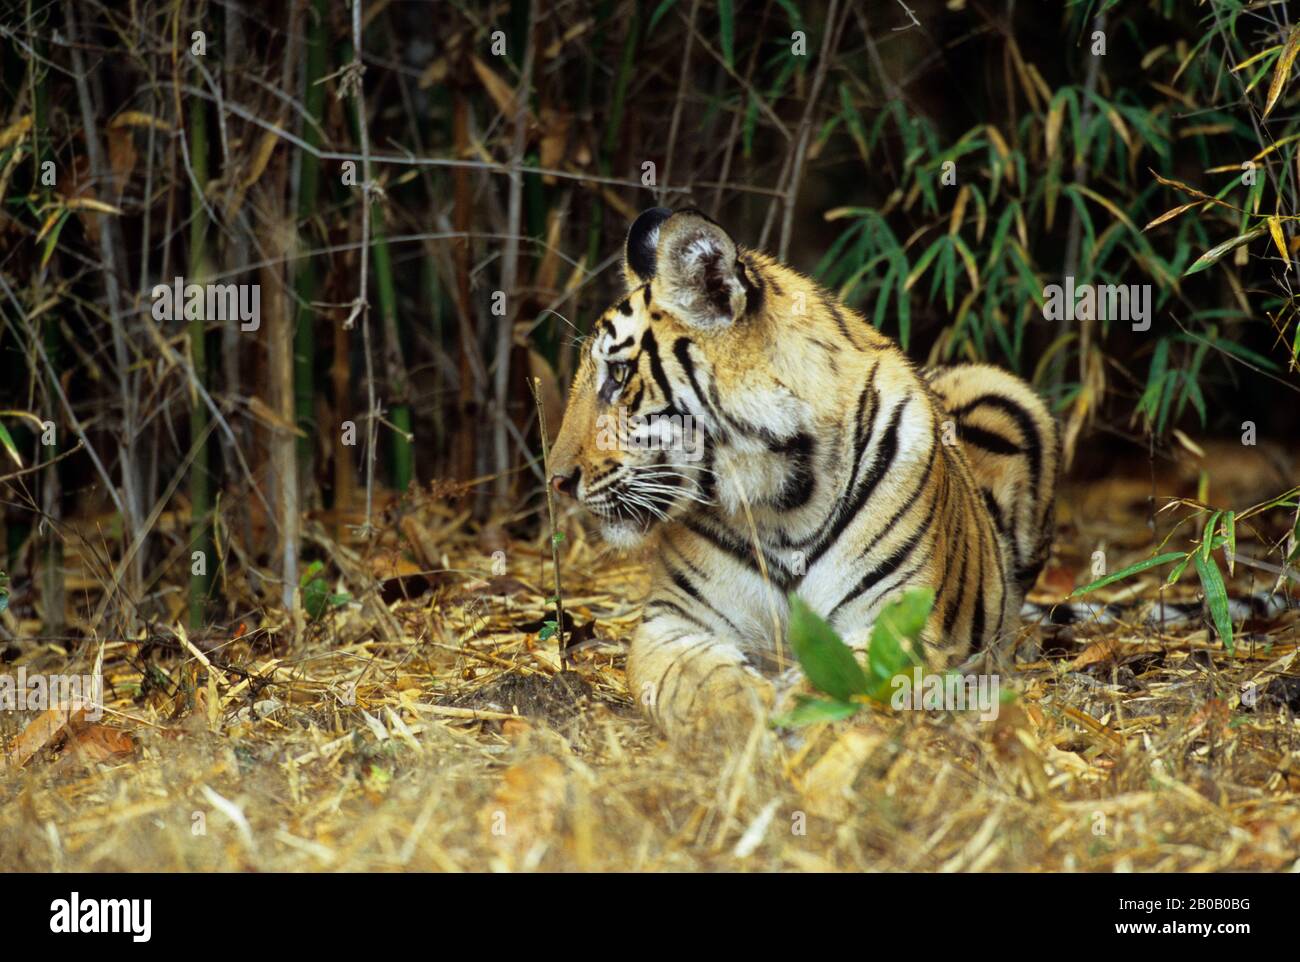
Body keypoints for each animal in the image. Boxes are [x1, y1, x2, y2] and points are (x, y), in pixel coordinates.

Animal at [548, 207, 1060, 747]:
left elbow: (844, 676)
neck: (783, 500)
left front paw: (794, 711)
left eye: (619, 376)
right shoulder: (673, 617)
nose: (556, 480)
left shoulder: (903, 618)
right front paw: (746, 717)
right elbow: (697, 681)